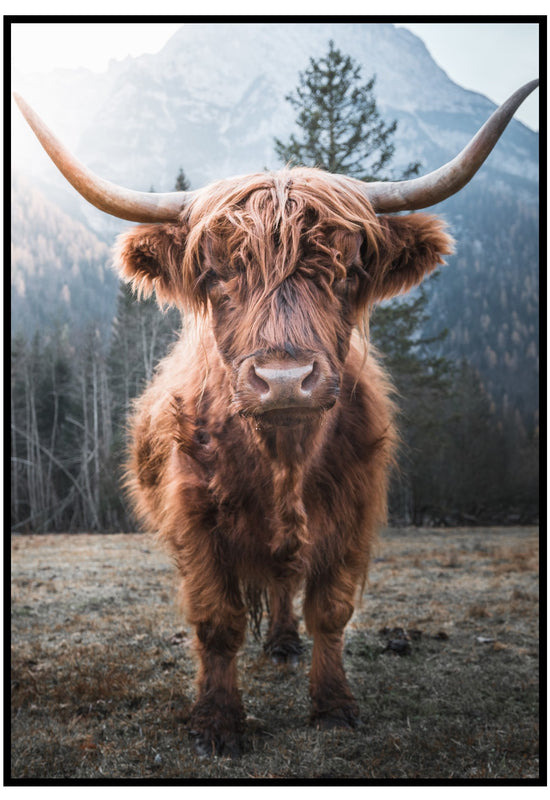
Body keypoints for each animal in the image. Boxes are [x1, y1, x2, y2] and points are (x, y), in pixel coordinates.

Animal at [15, 79, 537, 757]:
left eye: (348, 269)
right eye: (216, 273)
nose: (285, 380)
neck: (283, 459)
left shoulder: (352, 514)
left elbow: (330, 612)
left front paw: (334, 705)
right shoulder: (195, 520)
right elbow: (217, 621)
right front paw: (218, 722)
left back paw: (287, 645)